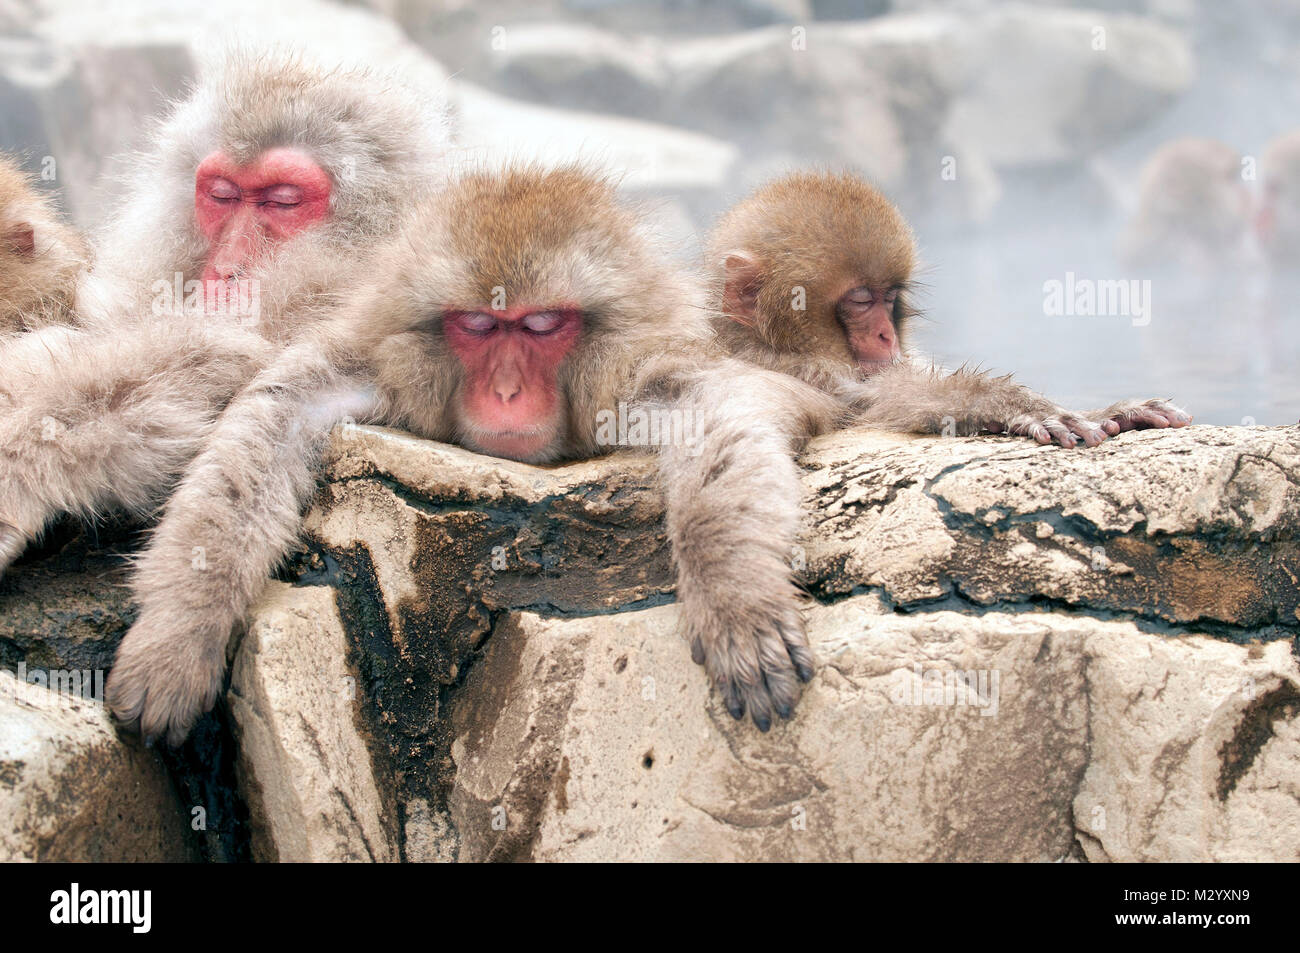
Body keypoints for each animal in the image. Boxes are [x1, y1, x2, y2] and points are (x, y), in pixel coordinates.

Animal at [103, 164, 843, 744]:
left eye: (541, 324)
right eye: (480, 325)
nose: (507, 391)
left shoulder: (633, 375)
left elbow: (727, 410)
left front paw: (736, 599)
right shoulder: (374, 363)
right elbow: (269, 419)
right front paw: (177, 634)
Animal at [708, 170, 1191, 445]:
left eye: (889, 298)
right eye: (861, 301)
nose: (886, 335)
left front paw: (1113, 411)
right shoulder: (797, 371)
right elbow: (878, 403)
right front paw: (1012, 406)